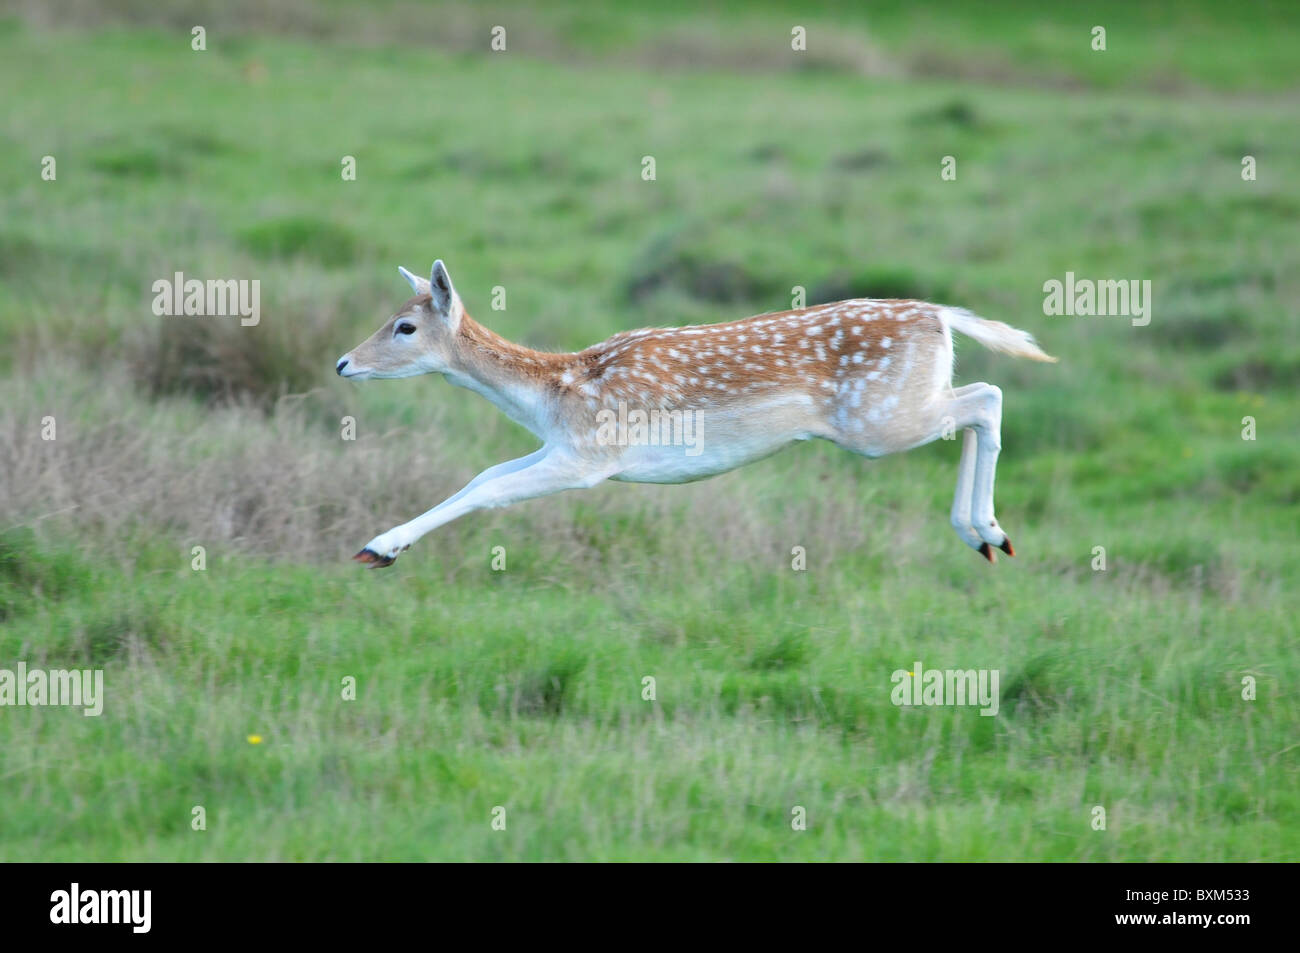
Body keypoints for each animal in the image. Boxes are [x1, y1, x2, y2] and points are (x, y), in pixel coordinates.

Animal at [336, 260, 1056, 568]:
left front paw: (379, 547)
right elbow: (483, 474)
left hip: (877, 418)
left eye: (404, 326)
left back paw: (984, 530)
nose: (343, 363)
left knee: (987, 398)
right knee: (982, 398)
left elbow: (492, 491)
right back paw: (987, 535)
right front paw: (382, 543)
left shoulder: (591, 457)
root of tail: (943, 315)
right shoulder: (563, 446)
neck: (554, 392)